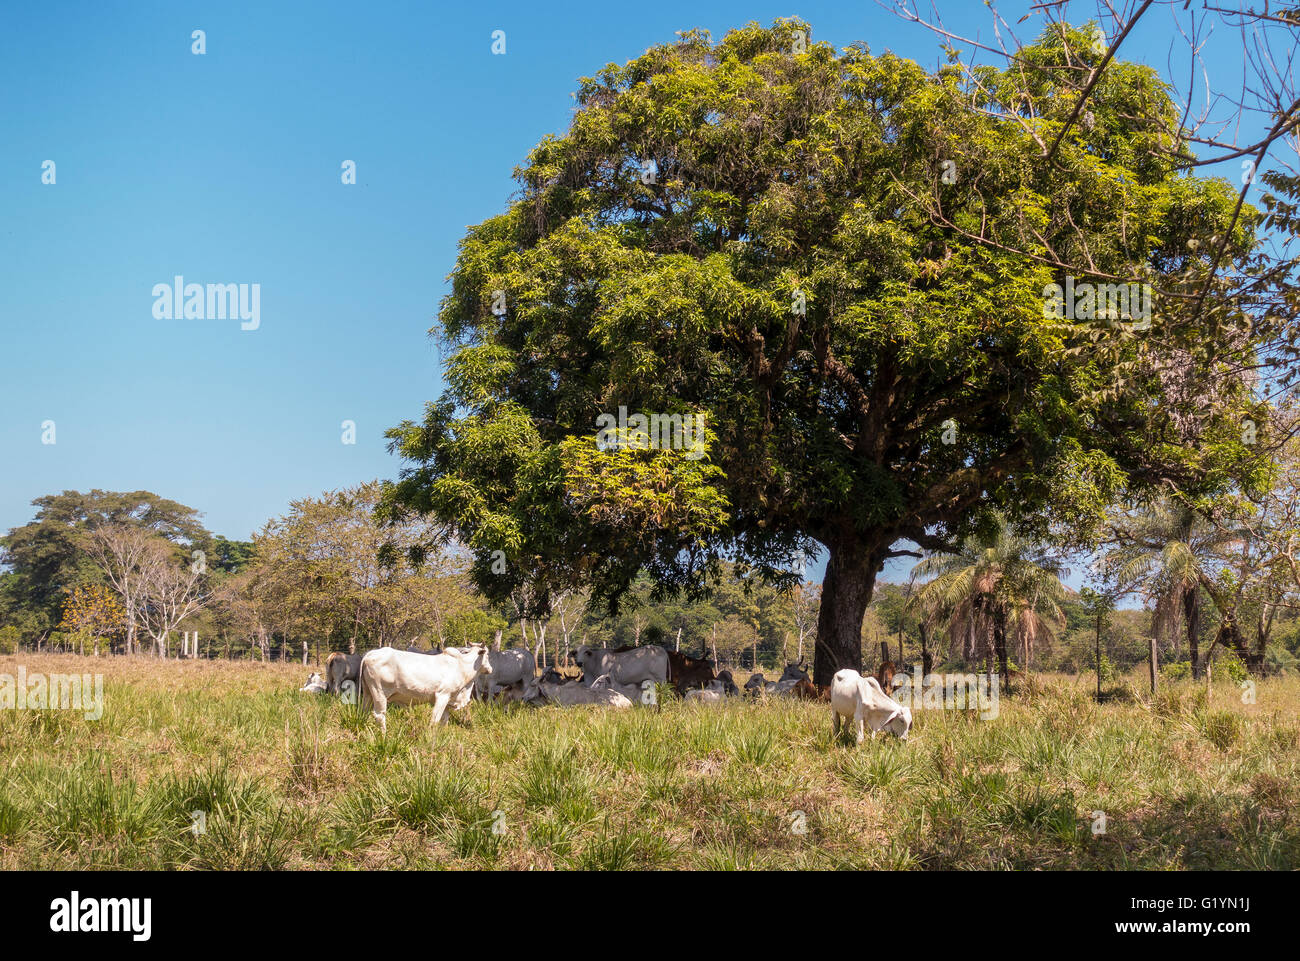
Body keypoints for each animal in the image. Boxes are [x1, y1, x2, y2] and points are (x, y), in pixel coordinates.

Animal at [357, 645, 492, 734]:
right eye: (487, 654)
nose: (490, 669)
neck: (461, 666)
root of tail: (370, 654)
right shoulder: (442, 696)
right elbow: (435, 720)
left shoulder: (448, 701)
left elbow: (444, 721)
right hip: (380, 694)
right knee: (379, 715)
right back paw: (384, 735)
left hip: (368, 694)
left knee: (364, 711)